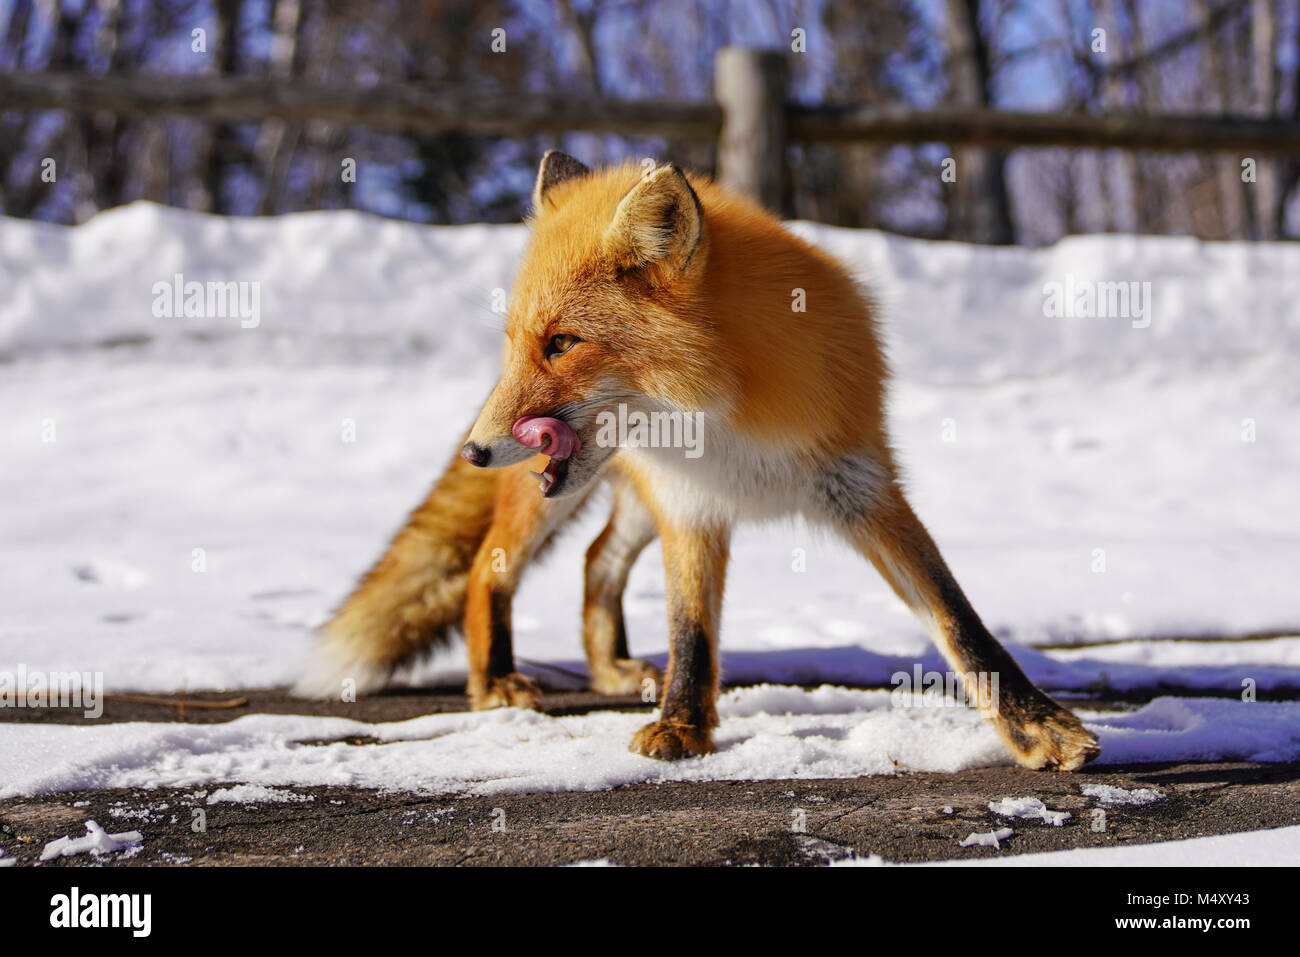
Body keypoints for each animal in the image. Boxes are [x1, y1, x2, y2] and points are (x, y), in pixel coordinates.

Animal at [302, 150, 1101, 772]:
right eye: (517, 343)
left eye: (560, 343)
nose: (474, 447)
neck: (725, 418)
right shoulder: (691, 505)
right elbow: (692, 631)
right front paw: (682, 726)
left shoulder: (863, 488)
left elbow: (960, 621)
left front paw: (1039, 727)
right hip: (556, 498)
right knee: (485, 570)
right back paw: (495, 680)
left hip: (623, 499)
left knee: (595, 561)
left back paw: (608, 667)